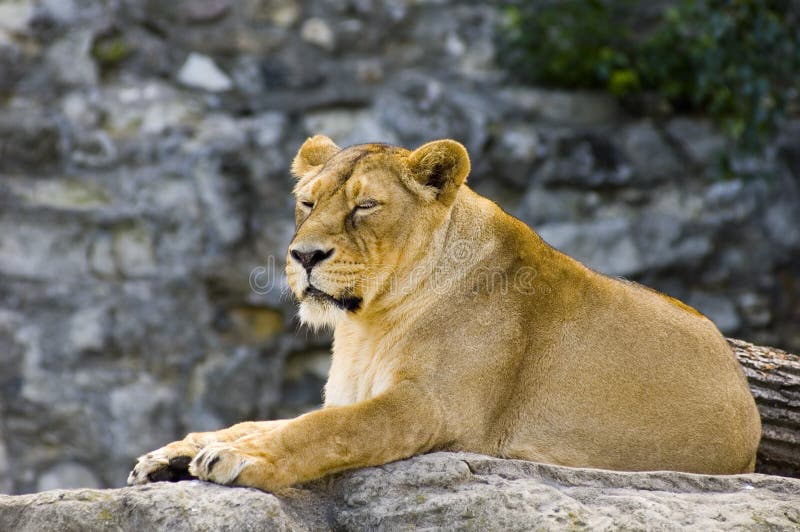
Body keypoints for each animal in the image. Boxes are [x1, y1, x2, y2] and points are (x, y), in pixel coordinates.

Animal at [128, 135, 761, 491]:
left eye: (365, 206)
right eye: (307, 202)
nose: (304, 255)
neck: (369, 322)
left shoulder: (437, 408)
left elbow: (327, 429)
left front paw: (239, 459)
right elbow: (269, 420)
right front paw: (172, 454)